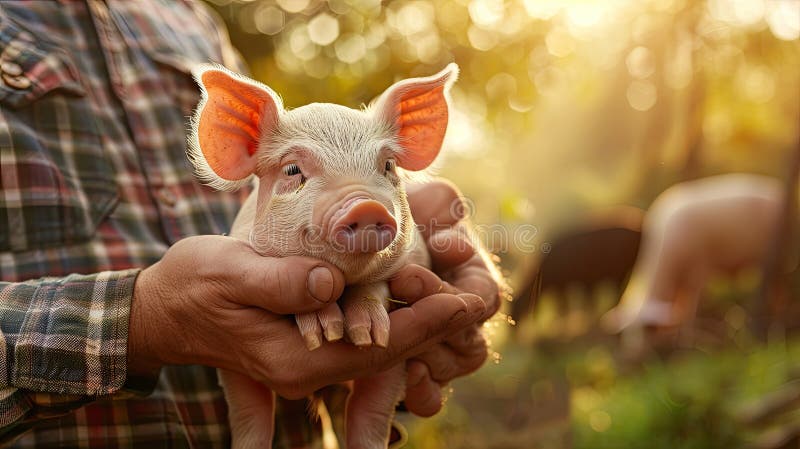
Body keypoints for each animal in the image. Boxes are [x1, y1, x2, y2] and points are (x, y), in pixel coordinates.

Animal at [187, 63, 459, 449]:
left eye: (388, 165)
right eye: (292, 171)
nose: (366, 205)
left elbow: (372, 412)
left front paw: (364, 336)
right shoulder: (230, 355)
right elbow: (249, 415)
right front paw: (324, 334)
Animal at [602, 173, 789, 333]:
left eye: (649, 329)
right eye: (626, 335)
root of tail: (775, 187)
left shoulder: (699, 266)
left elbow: (690, 304)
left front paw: (686, 333)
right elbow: (679, 306)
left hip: (777, 257)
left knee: (778, 288)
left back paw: (777, 320)